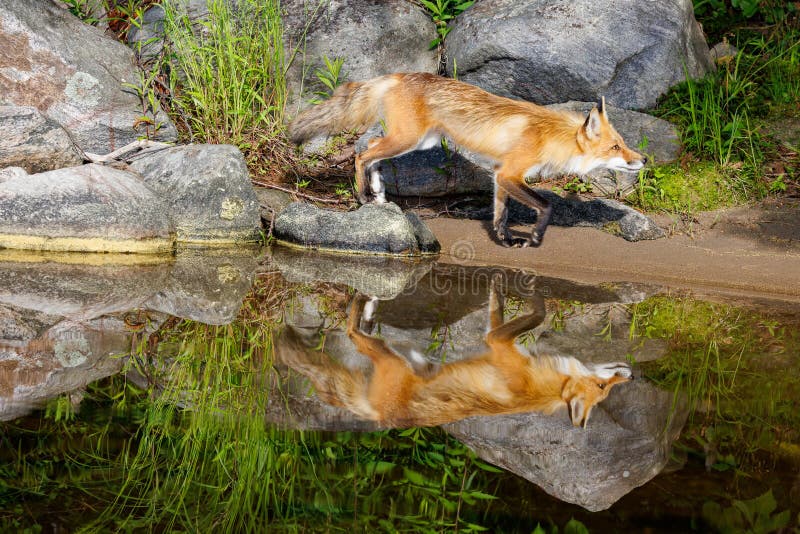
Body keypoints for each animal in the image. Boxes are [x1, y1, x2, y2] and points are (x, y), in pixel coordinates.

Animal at [276, 277, 633, 428]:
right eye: (603, 387)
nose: (630, 375)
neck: (546, 385)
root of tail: (381, 418)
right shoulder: (497, 344)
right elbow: (514, 310)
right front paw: (507, 286)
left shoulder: (498, 344)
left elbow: (530, 313)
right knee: (354, 332)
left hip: (393, 360)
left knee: (353, 333)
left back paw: (361, 304)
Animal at [288, 72, 647, 247]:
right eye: (616, 147)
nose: (642, 159)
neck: (547, 135)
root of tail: (397, 74)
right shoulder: (511, 173)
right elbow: (546, 206)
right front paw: (534, 237)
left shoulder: (501, 176)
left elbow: (500, 214)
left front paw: (505, 241)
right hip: (408, 139)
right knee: (363, 152)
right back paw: (363, 195)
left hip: (417, 141)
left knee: (371, 146)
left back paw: (377, 193)